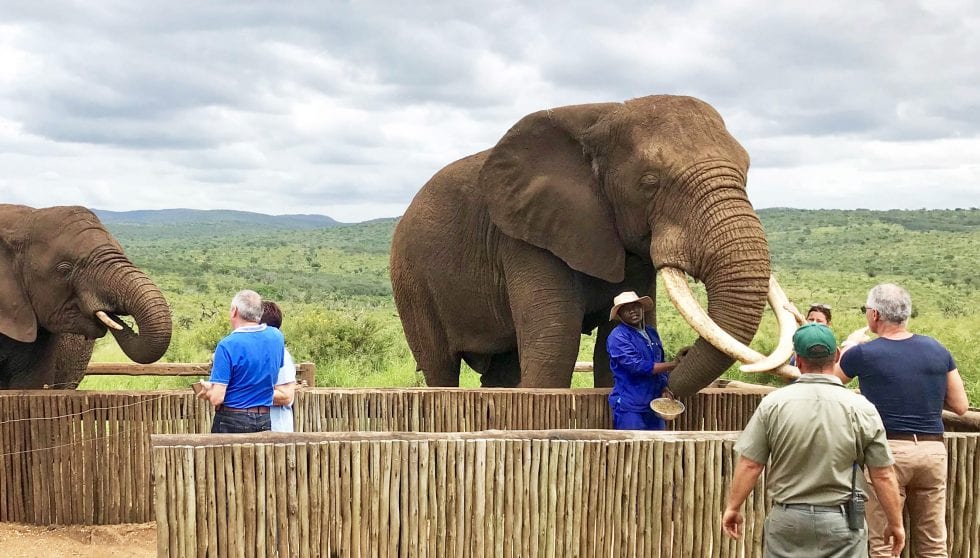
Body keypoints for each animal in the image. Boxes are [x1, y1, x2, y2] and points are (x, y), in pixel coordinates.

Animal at [390, 95, 797, 397]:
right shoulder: (525, 238)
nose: (682, 354)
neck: (601, 120)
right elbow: (556, 343)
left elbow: (614, 344)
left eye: (747, 172)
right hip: (411, 277)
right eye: (650, 182)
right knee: (440, 364)